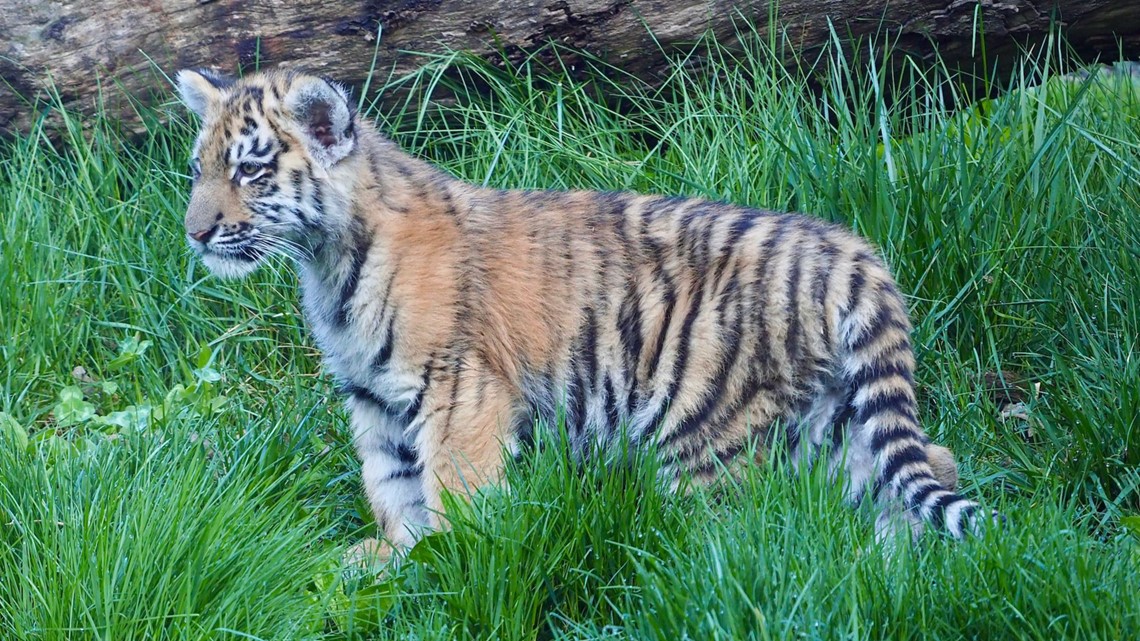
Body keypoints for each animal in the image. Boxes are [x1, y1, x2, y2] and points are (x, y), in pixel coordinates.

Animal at [175, 67, 990, 559]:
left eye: (251, 170)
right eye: (199, 168)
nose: (195, 233)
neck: (327, 260)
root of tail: (850, 252)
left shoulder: (458, 389)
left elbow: (455, 492)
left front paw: (453, 562)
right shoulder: (373, 399)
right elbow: (392, 486)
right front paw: (392, 558)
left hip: (709, 431)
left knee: (746, 529)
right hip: (831, 415)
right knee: (920, 467)